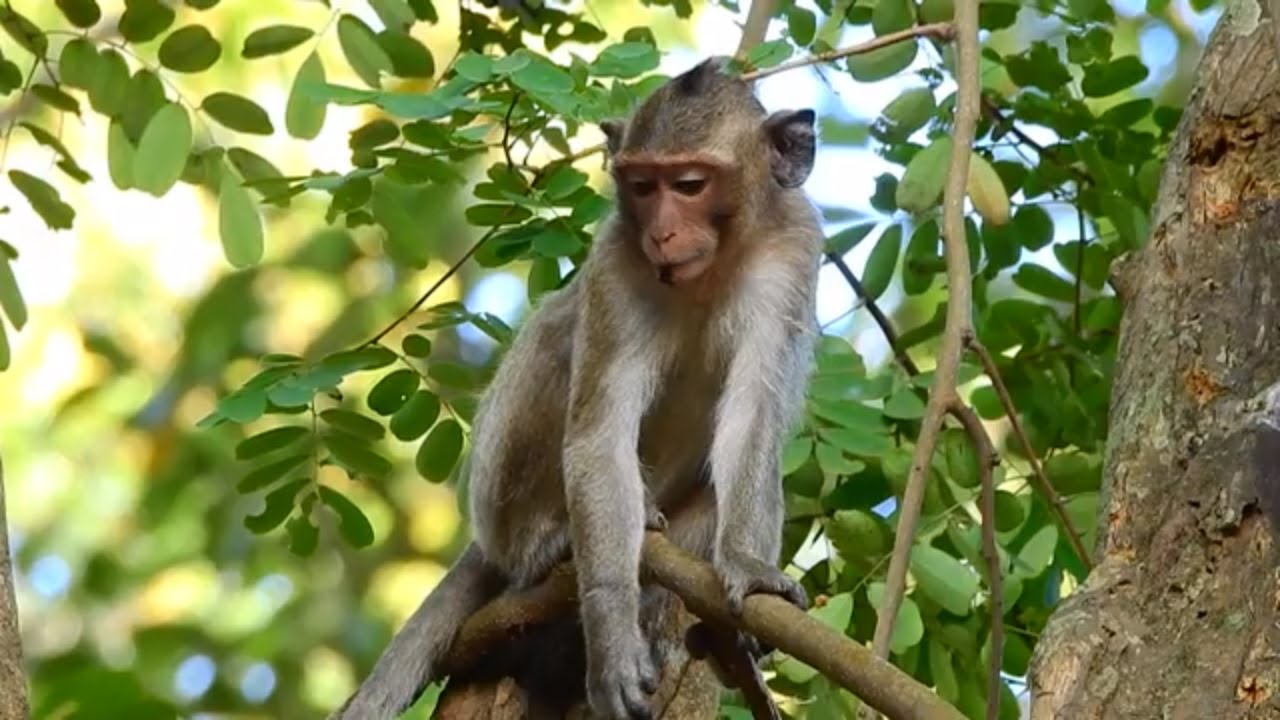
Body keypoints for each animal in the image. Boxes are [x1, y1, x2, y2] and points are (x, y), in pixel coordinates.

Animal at [332, 56, 824, 720]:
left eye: (689, 185)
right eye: (641, 187)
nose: (661, 235)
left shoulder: (793, 251)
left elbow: (753, 419)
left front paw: (746, 564)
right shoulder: (616, 259)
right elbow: (598, 434)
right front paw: (612, 634)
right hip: (500, 500)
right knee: (558, 333)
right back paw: (550, 543)